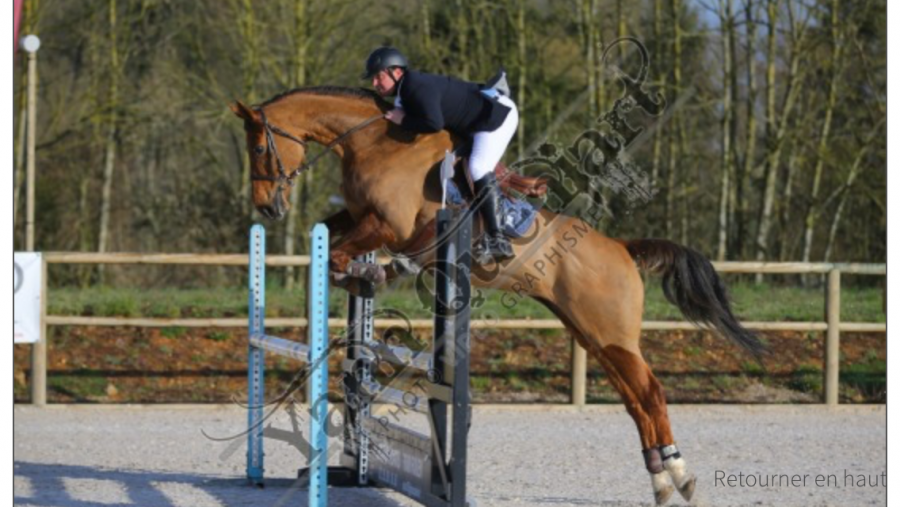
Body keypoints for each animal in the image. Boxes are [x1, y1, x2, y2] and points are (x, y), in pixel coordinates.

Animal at [230, 86, 766, 506]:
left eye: (258, 148)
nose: (267, 208)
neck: (373, 143)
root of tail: (621, 248)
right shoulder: (362, 218)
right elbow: (336, 236)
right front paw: (364, 271)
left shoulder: (391, 225)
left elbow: (346, 251)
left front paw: (373, 269)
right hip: (593, 336)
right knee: (636, 399)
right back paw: (660, 480)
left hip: (612, 334)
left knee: (651, 392)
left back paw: (681, 474)